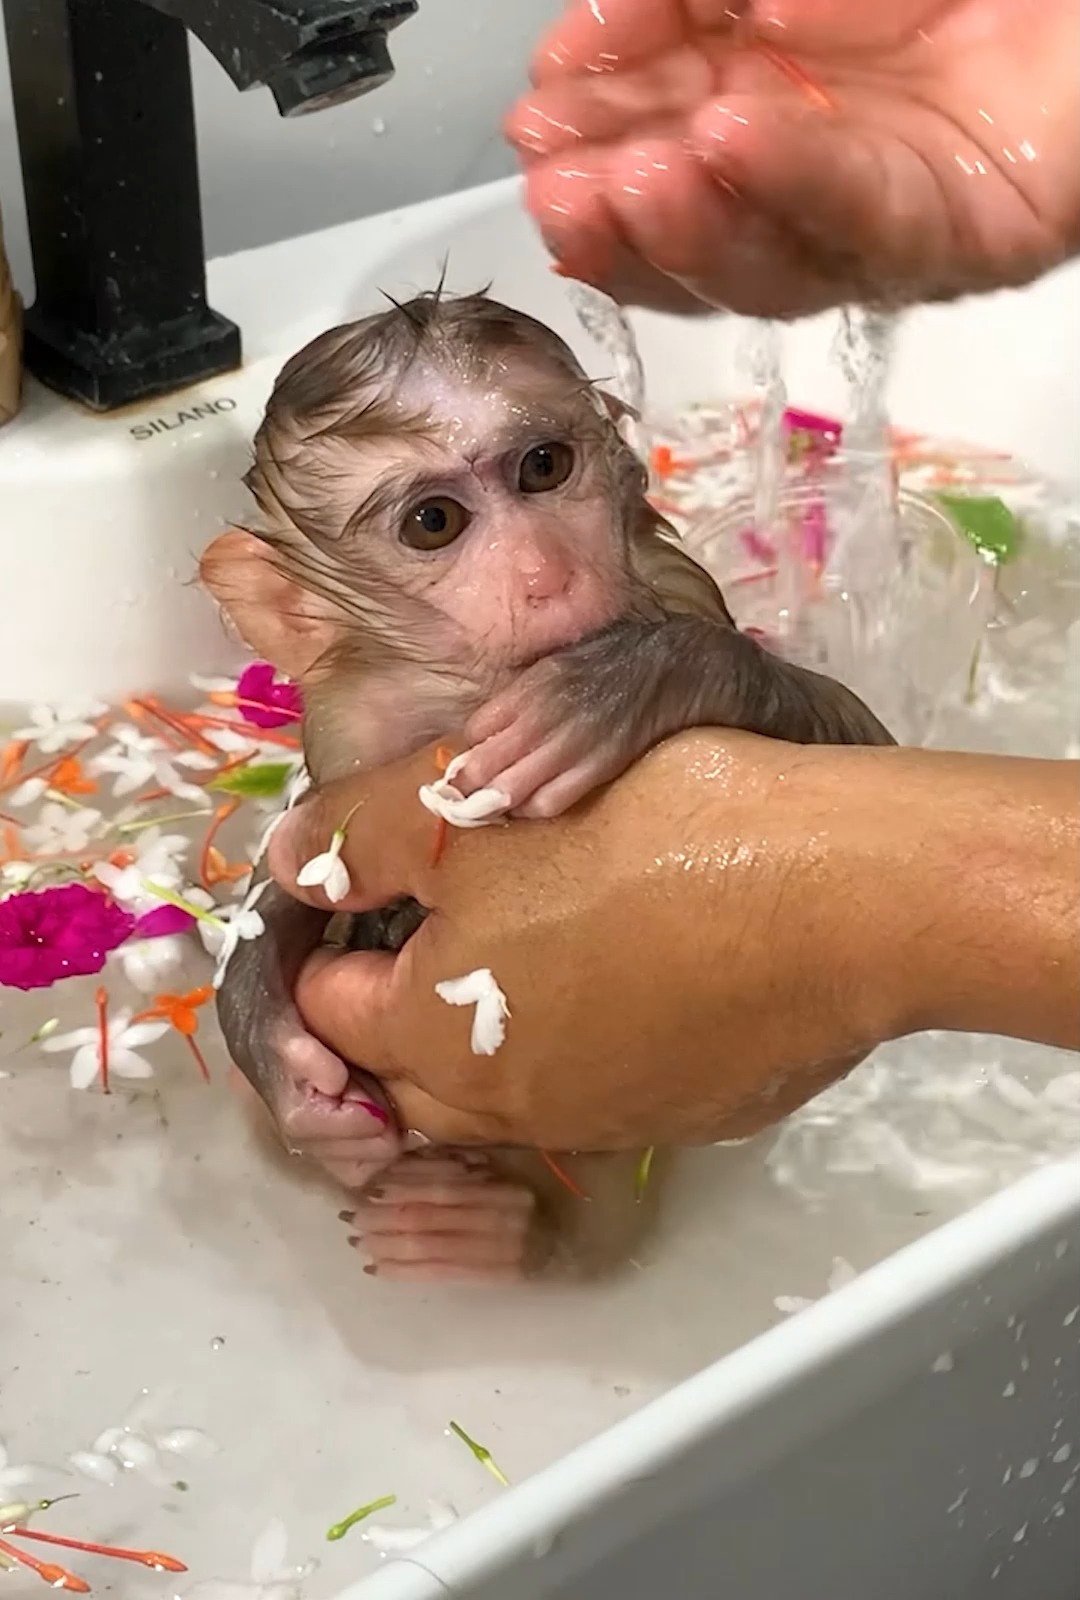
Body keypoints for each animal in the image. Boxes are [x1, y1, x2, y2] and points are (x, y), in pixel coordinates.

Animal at [199, 289, 893, 1285]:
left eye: (543, 467)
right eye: (434, 522)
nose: (548, 573)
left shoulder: (677, 585)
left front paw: (622, 683)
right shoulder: (347, 727)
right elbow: (298, 866)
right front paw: (284, 1067)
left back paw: (513, 1234)